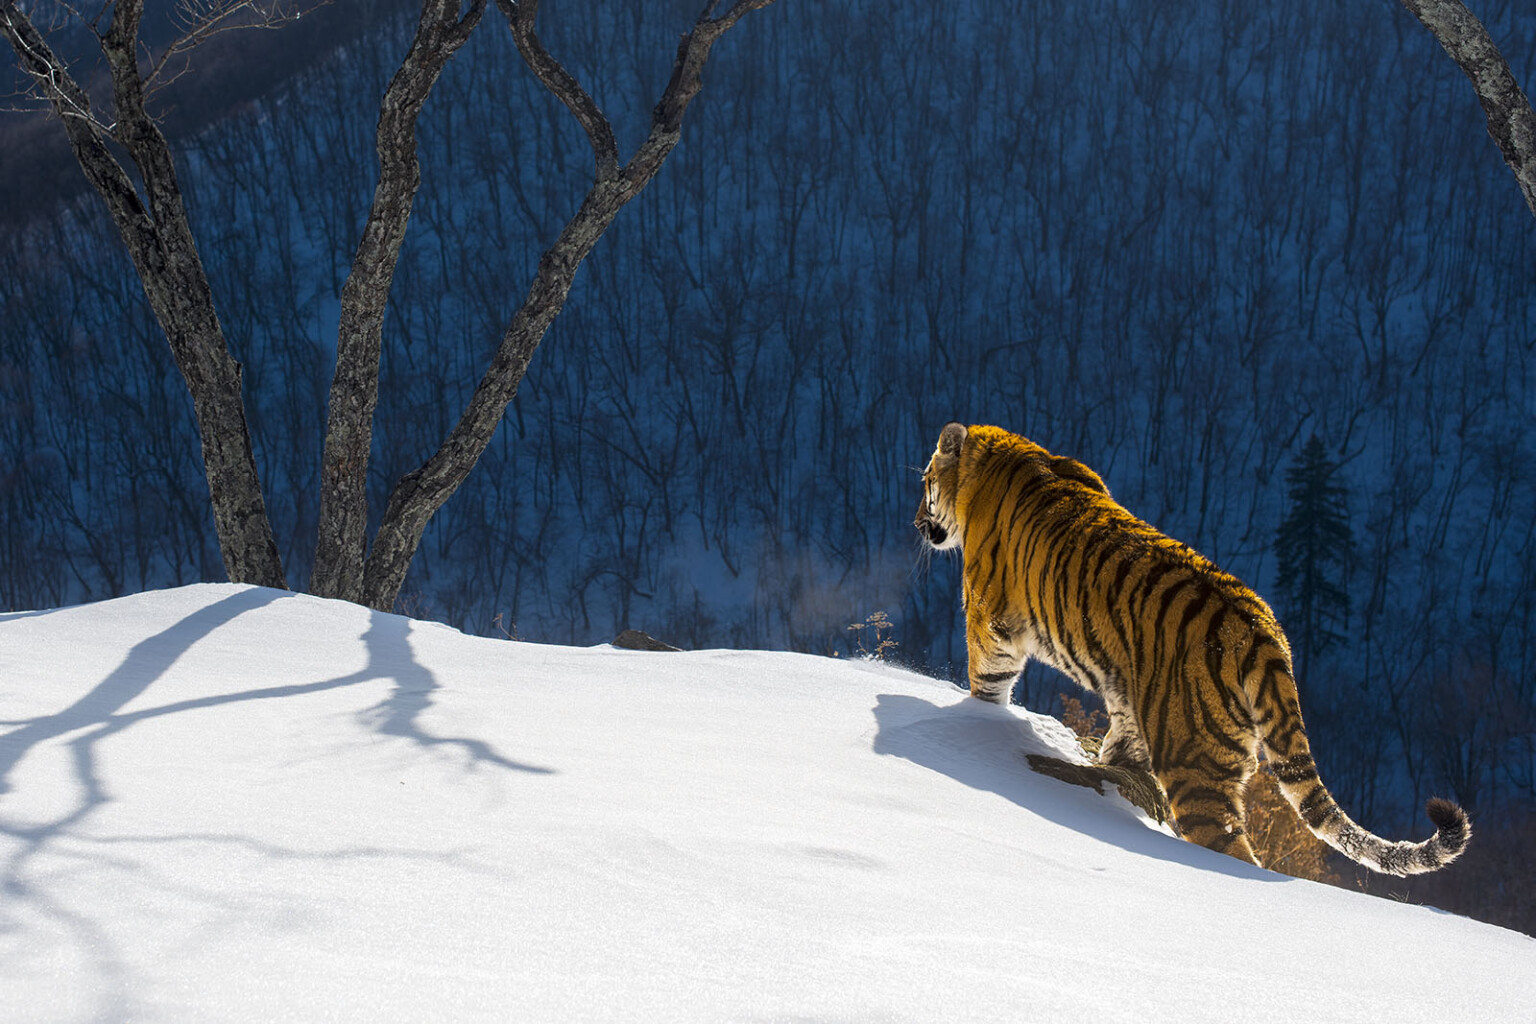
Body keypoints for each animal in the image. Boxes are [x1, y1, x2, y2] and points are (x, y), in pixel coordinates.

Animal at [914, 421, 1470, 876]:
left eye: (924, 482)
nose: (918, 521)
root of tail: (1260, 627)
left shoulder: (991, 620)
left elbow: (988, 684)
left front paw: (978, 720)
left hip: (1195, 766)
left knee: (1232, 850)